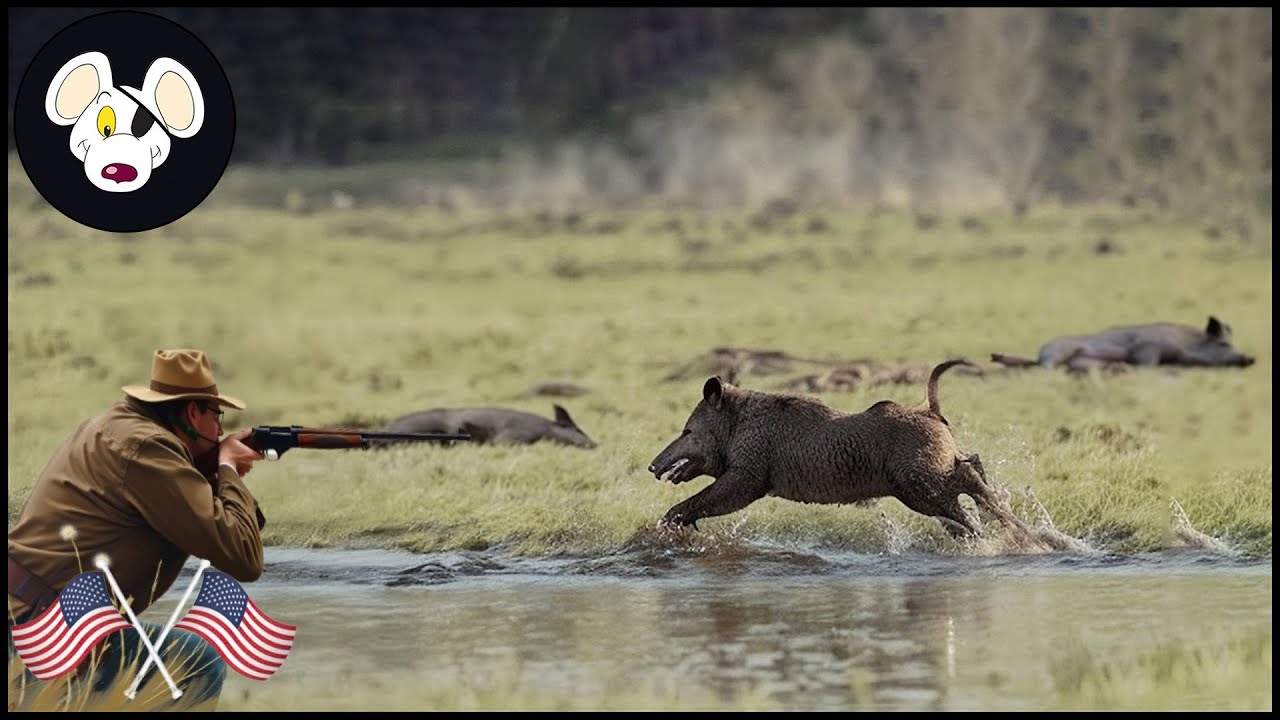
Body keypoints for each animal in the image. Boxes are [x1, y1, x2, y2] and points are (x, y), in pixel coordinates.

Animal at [648, 359, 1034, 541]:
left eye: (687, 430)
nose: (654, 465)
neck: (736, 425)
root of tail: (932, 411)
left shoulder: (750, 475)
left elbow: (705, 499)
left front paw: (674, 519)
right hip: (923, 480)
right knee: (970, 472)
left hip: (918, 482)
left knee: (965, 490)